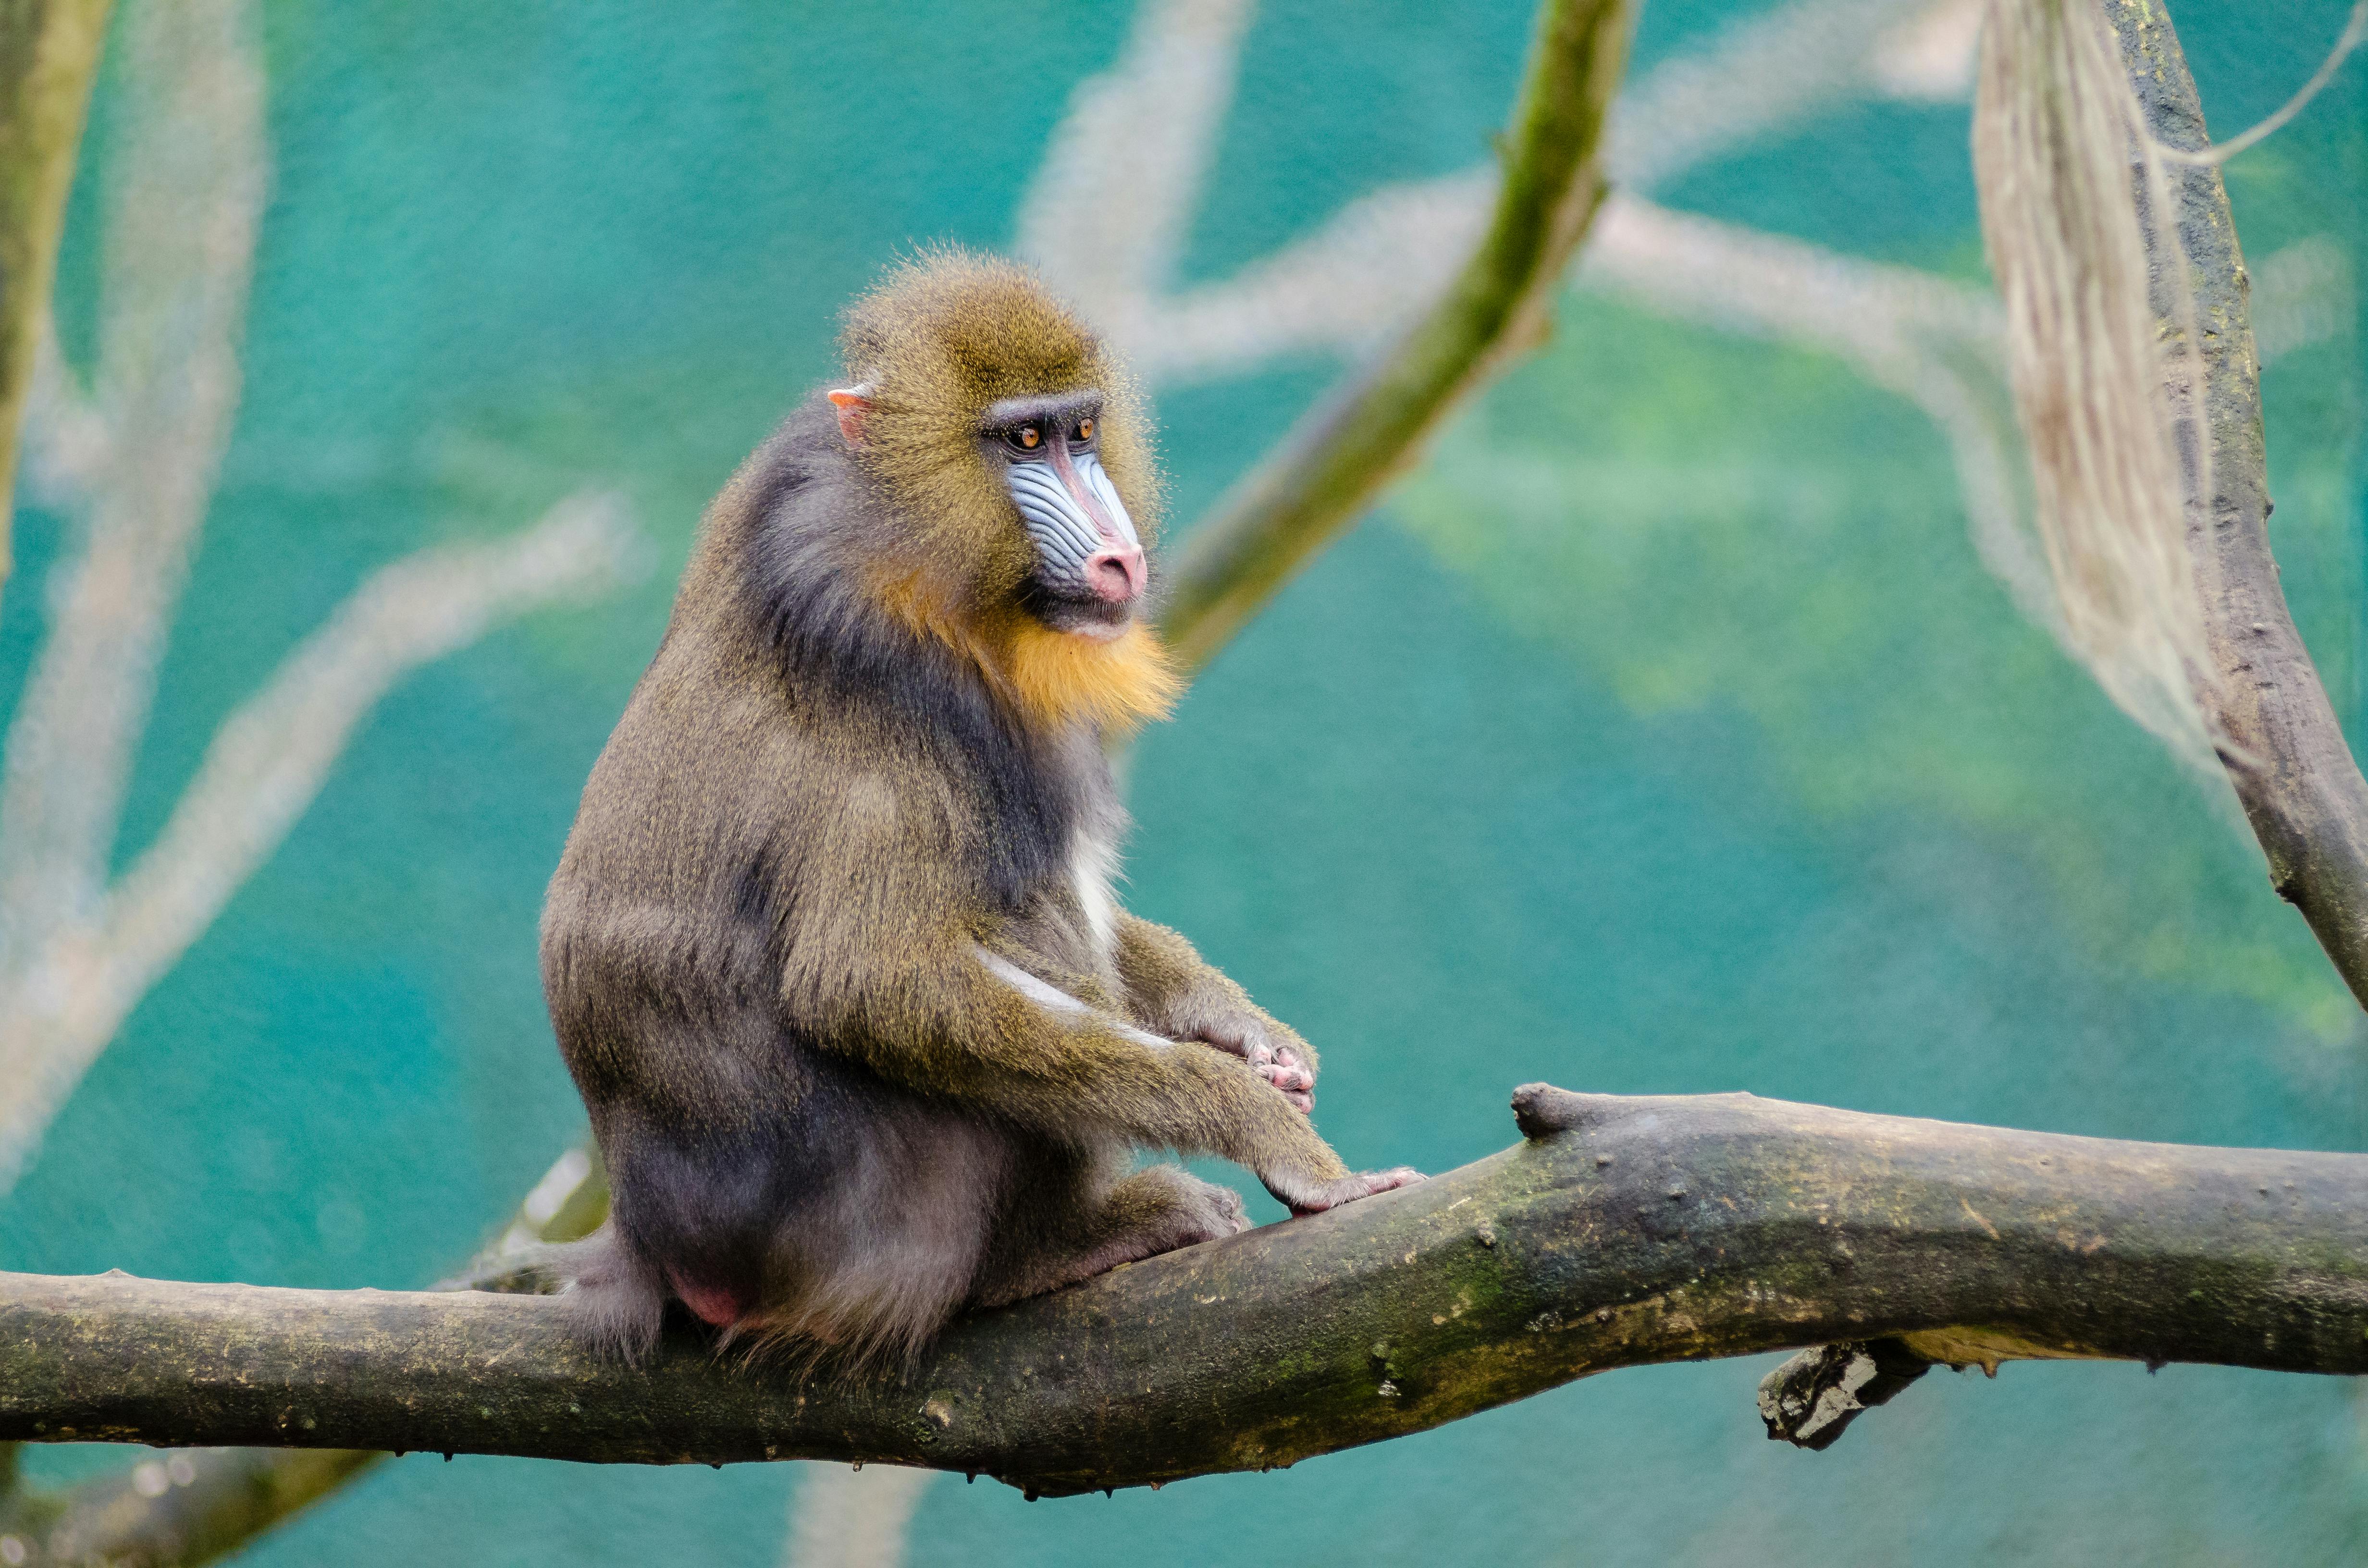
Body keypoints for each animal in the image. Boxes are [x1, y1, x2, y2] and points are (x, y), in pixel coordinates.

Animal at [538, 249, 1422, 1367]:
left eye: (1081, 430)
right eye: (1024, 442)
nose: (1118, 559)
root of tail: (653, 1252)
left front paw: (1238, 1027)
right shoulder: (890, 688)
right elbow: (873, 979)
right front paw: (1269, 1133)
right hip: (881, 1238)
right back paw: (1055, 1248)